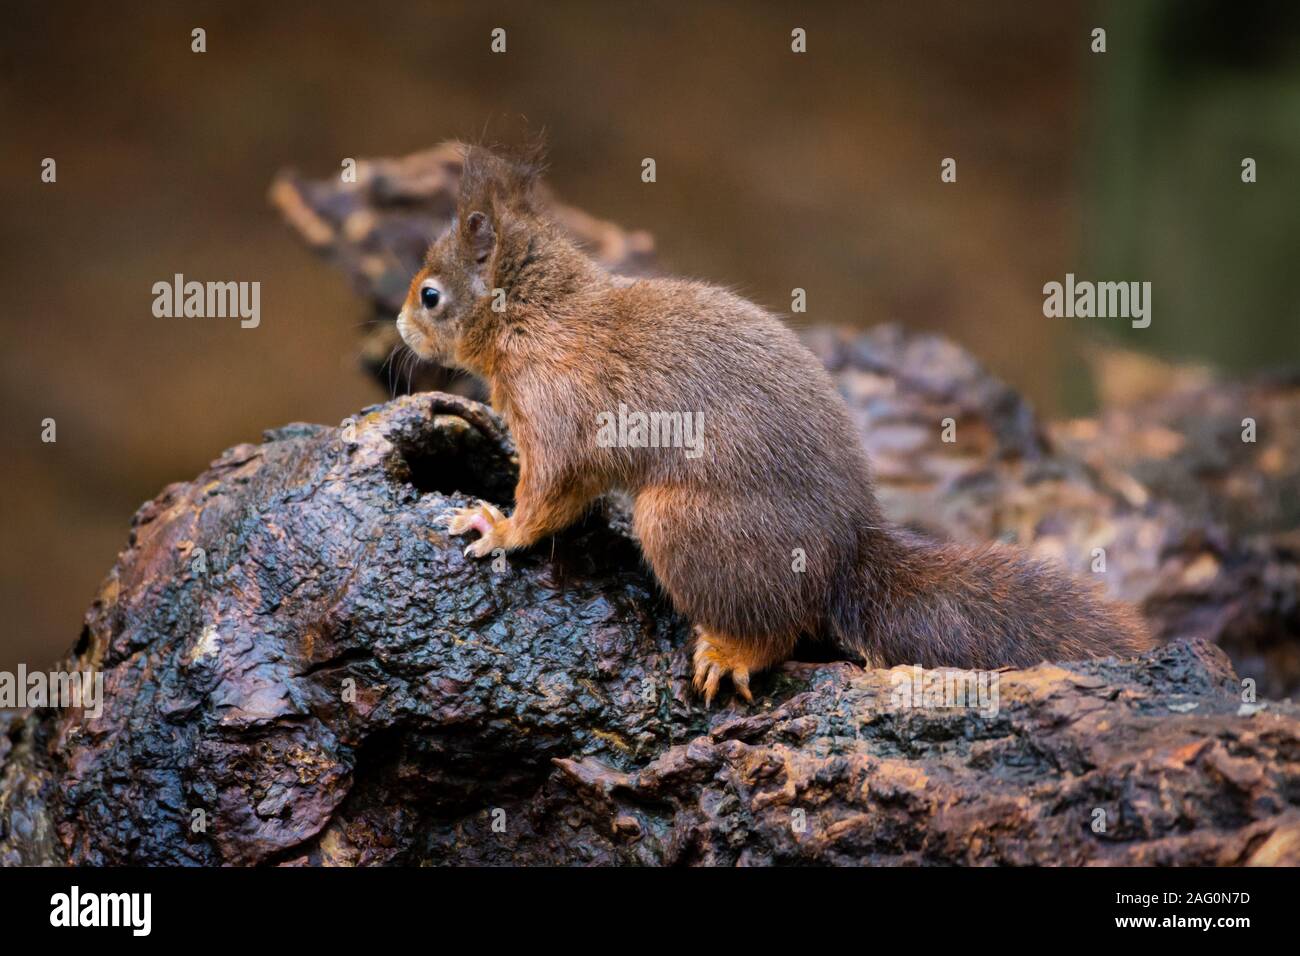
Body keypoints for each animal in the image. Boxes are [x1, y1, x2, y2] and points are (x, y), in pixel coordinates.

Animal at [396, 144, 1152, 705]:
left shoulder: (556, 412)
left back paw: (731, 654)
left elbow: (547, 496)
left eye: (430, 296)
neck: (537, 316)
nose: (402, 327)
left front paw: (497, 527)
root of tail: (841, 554)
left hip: (681, 524)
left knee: (779, 632)